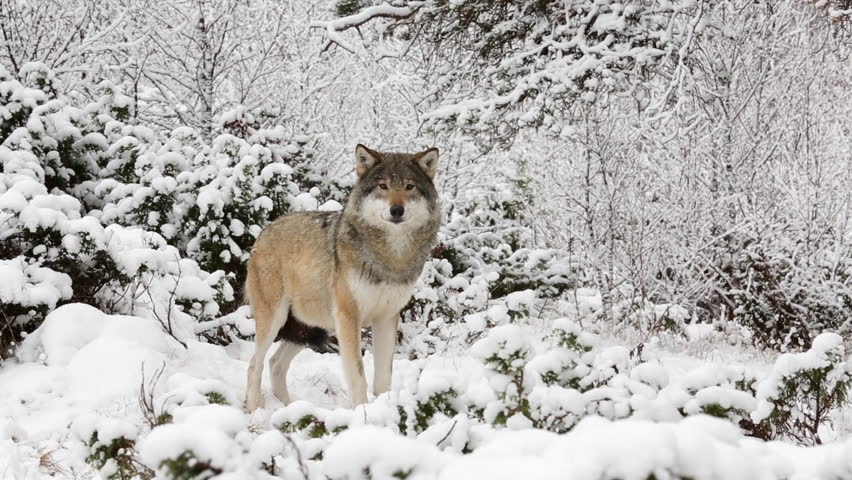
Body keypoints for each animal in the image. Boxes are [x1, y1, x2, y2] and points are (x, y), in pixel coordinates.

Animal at [245, 144, 441, 411]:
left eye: (409, 186)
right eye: (383, 186)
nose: (396, 210)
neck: (390, 257)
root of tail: (263, 233)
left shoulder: (387, 318)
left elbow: (384, 378)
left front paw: (384, 409)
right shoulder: (349, 317)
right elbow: (358, 374)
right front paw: (362, 412)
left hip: (309, 328)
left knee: (275, 363)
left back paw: (290, 409)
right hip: (275, 319)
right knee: (255, 363)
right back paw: (256, 409)